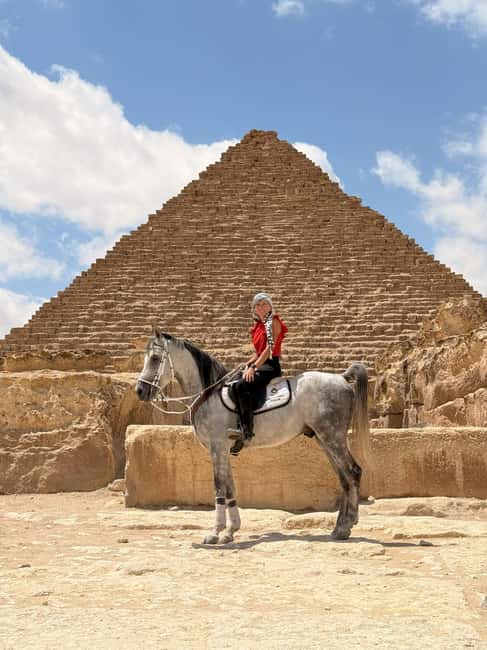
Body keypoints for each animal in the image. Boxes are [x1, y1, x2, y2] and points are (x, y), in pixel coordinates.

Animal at [135, 329, 370, 544]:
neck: (209, 395)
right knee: (344, 477)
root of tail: (341, 378)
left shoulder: (216, 447)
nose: (139, 390)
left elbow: (219, 486)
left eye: (155, 358)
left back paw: (345, 526)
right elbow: (230, 486)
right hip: (324, 439)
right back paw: (341, 527)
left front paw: (215, 533)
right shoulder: (223, 450)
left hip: (332, 436)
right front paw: (230, 531)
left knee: (353, 472)